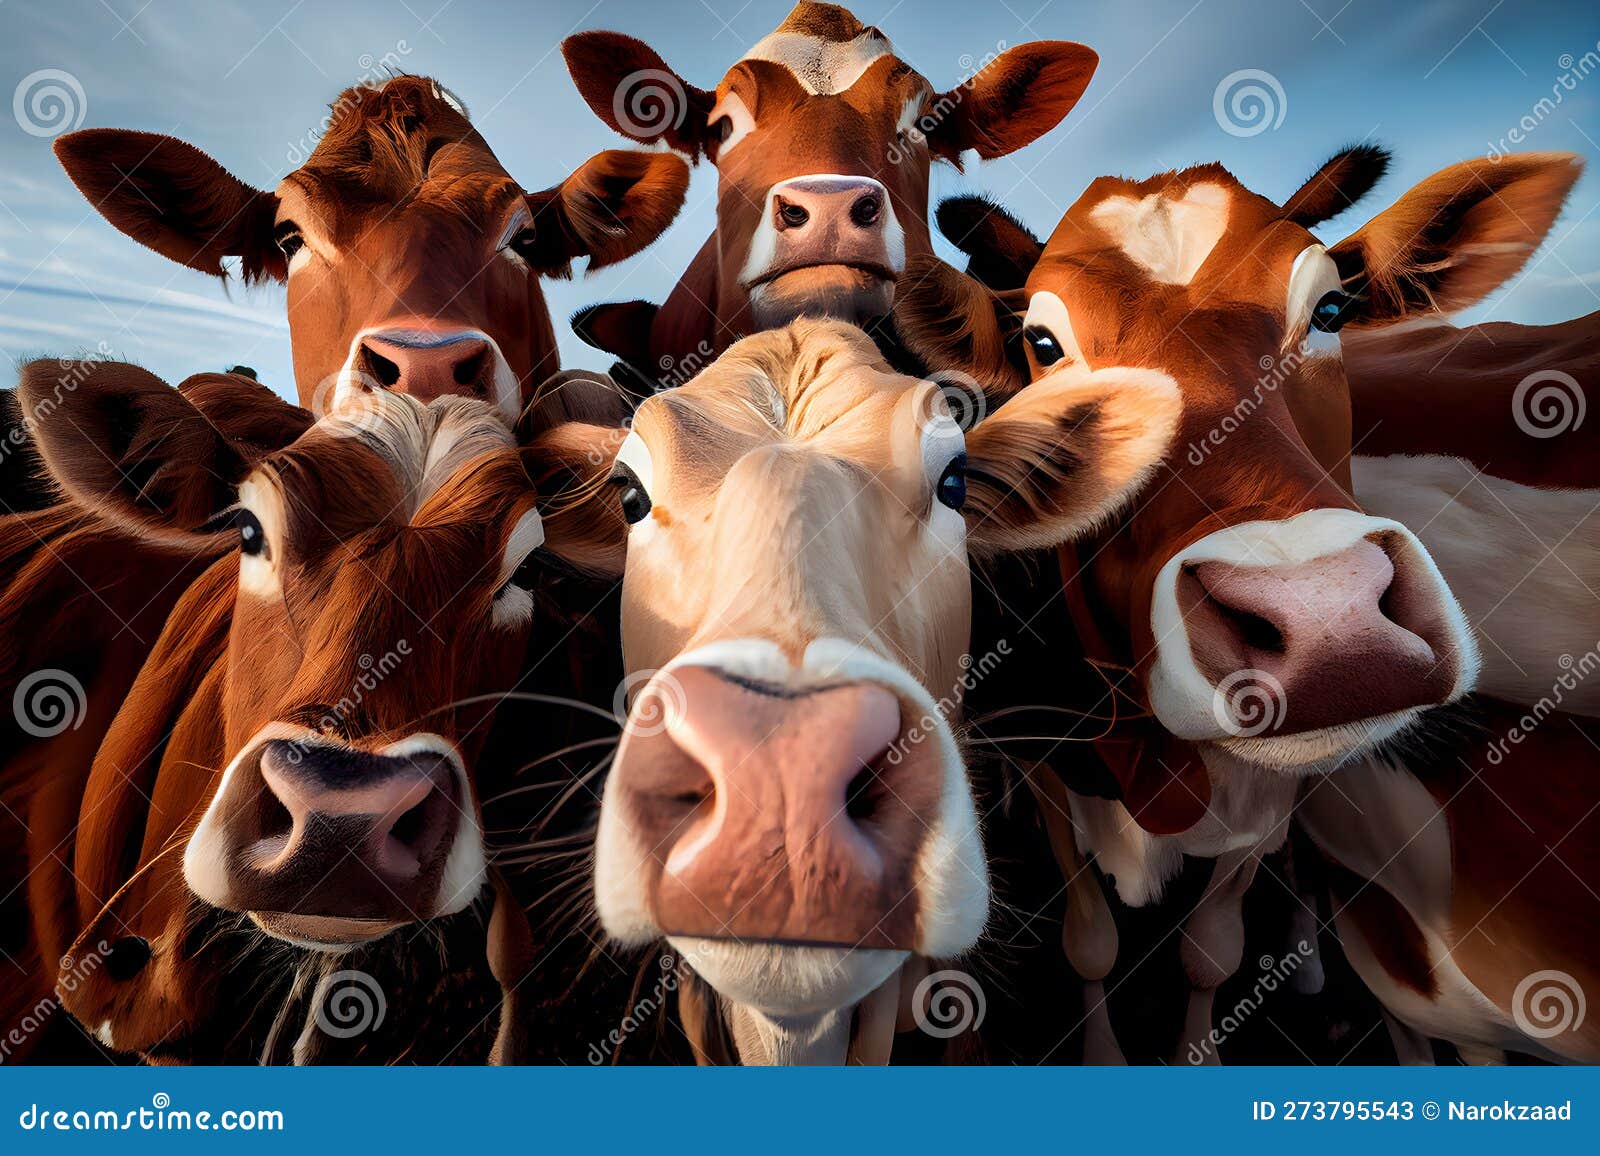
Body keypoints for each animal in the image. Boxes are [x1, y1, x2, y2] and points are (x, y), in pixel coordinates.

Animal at [889, 148, 1586, 1061]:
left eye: (1329, 309)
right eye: (1042, 344)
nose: (1330, 623)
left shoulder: (1267, 803)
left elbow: (1211, 953)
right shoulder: (1038, 760)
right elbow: (1090, 941)